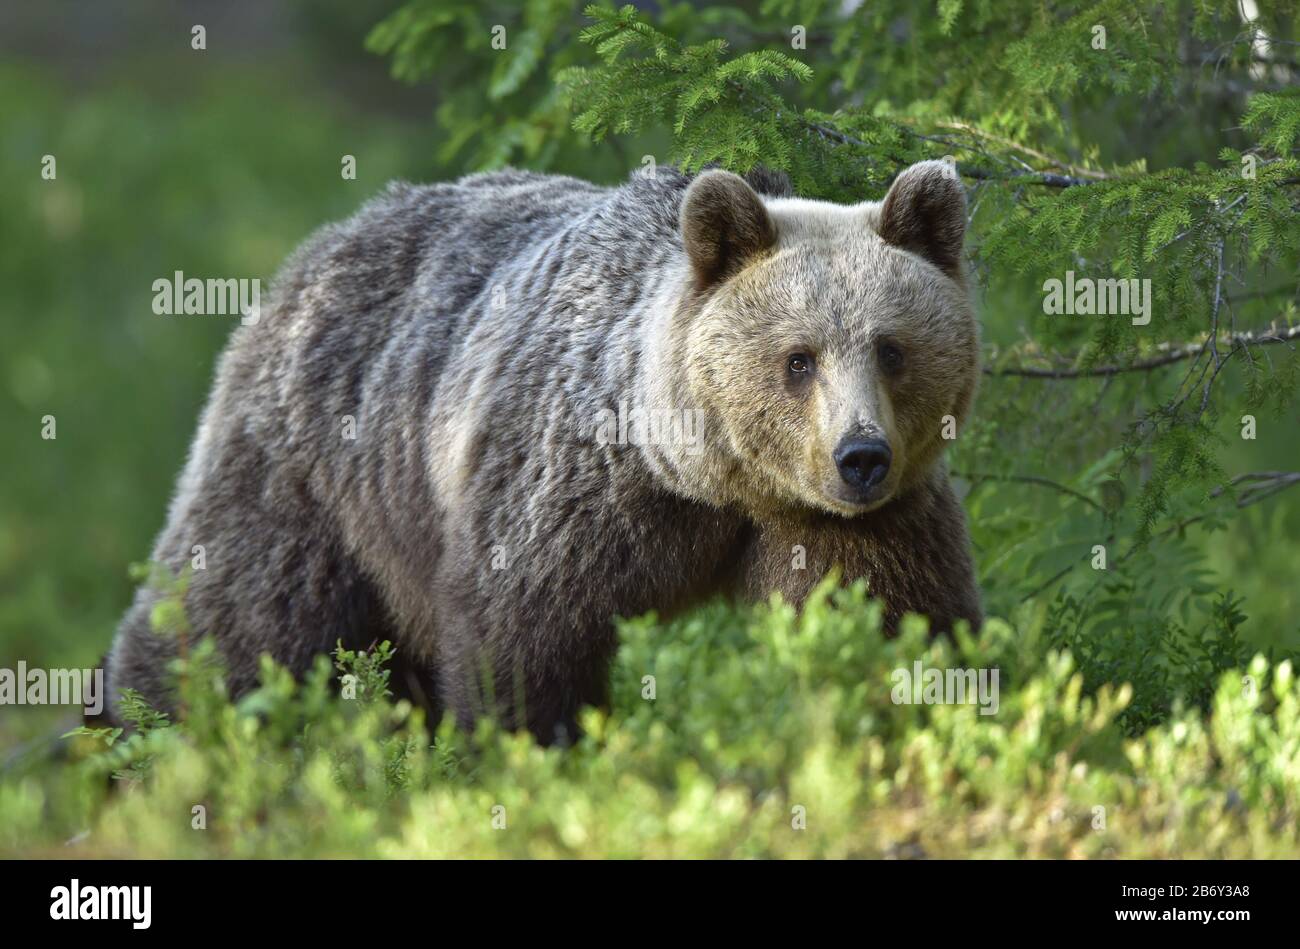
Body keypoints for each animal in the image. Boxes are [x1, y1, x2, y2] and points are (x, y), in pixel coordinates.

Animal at [105, 159, 982, 742]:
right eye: (798, 358)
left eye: (891, 348)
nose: (860, 455)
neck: (706, 480)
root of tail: (310, 255)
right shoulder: (567, 482)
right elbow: (523, 632)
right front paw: (532, 748)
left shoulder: (851, 521)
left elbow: (891, 615)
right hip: (312, 471)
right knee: (232, 613)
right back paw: (136, 737)